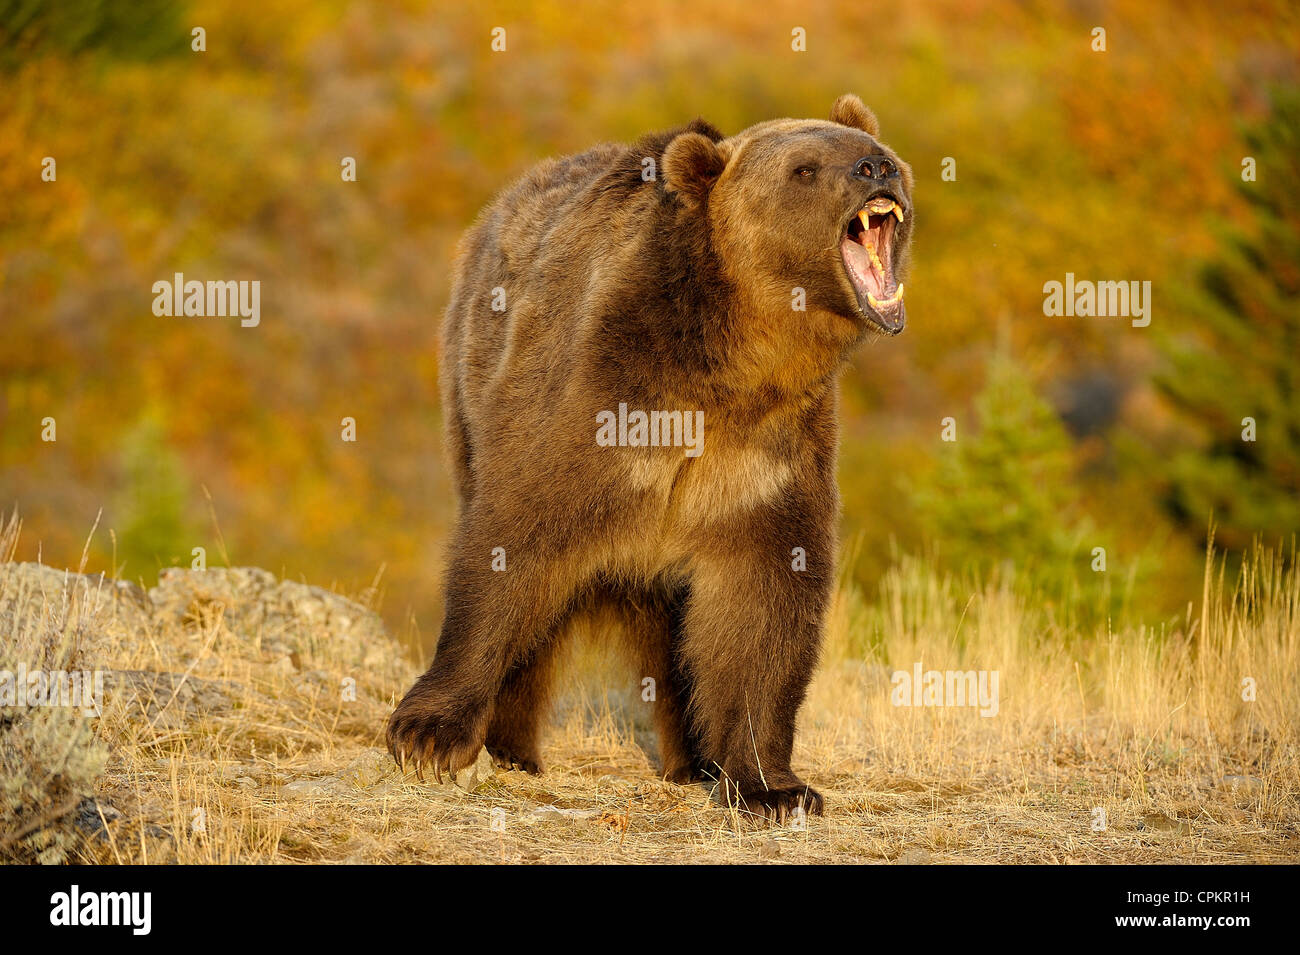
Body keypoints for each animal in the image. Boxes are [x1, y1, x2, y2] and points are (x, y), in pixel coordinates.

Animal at [387, 94, 913, 822]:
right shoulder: (600, 403)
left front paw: (774, 786)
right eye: (806, 168)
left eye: (873, 148)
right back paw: (518, 746)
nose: (877, 167)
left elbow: (764, 602)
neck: (731, 365)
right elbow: (514, 545)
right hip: (472, 385)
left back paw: (690, 758)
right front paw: (428, 736)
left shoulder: (768, 455)